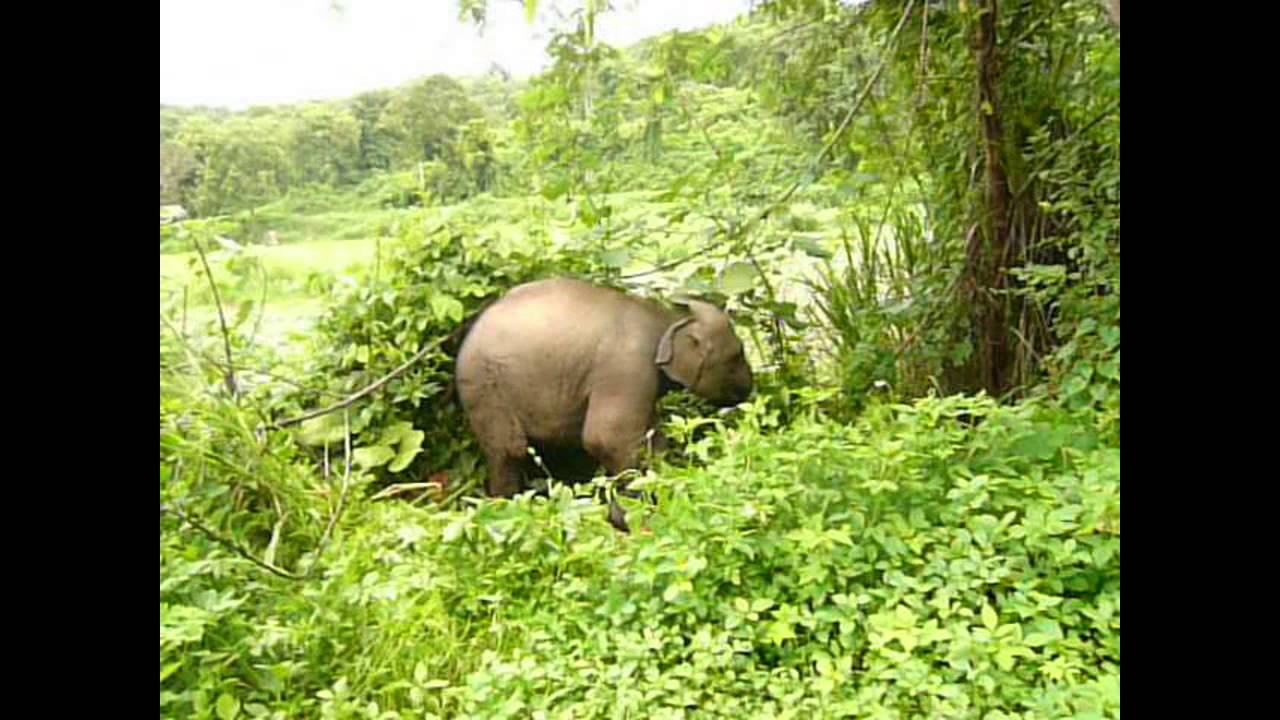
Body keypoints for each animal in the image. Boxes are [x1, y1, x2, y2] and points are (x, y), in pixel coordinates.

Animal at [454, 277, 754, 531]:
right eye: (737, 354)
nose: (750, 390)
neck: (666, 317)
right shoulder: (627, 367)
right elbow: (606, 439)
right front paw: (636, 518)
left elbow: (650, 440)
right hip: (485, 387)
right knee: (510, 451)